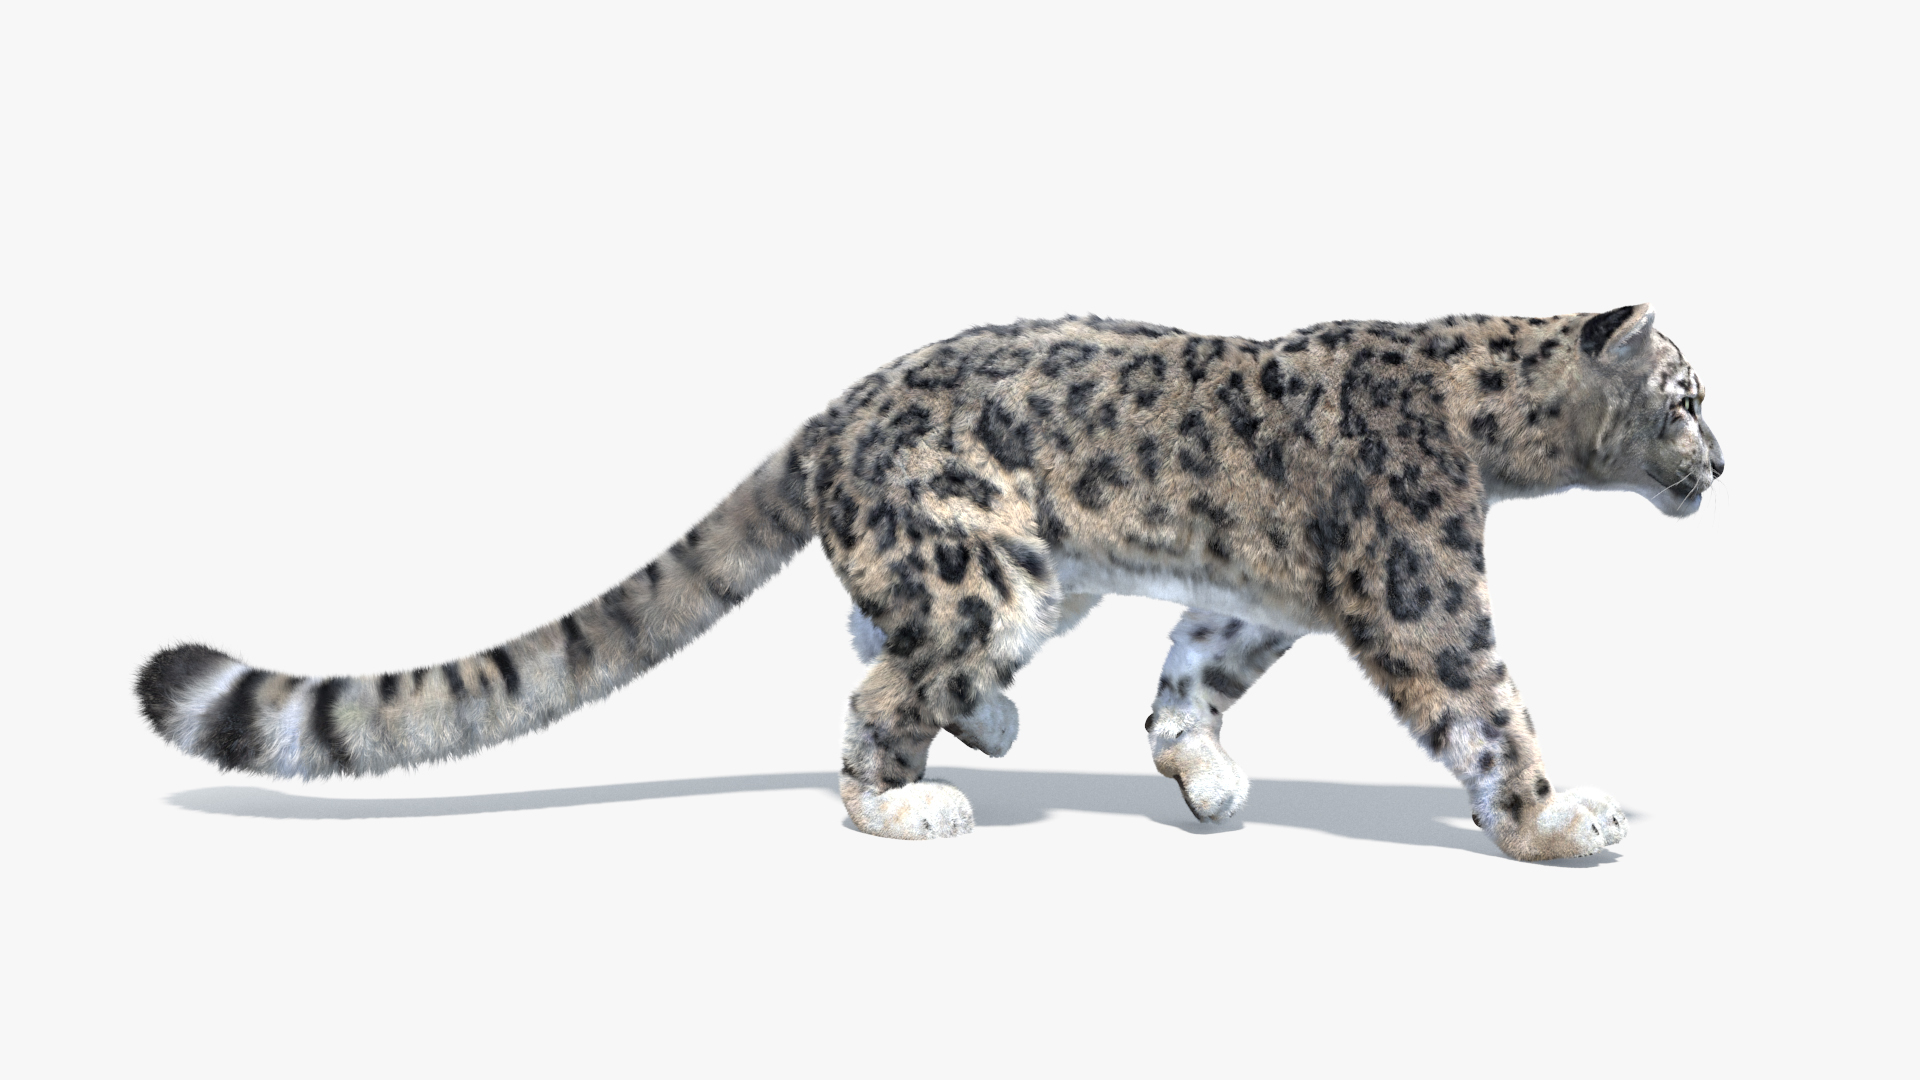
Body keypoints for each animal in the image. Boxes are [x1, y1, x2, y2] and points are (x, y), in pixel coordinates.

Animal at [136, 304, 1723, 860]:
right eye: (1688, 395)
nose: (1726, 462)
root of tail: (832, 411)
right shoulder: (1417, 588)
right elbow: (1490, 712)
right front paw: (1561, 819)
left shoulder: (1249, 598)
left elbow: (1190, 676)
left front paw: (1200, 775)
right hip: (991, 571)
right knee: (877, 688)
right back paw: (905, 801)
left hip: (1026, 578)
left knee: (883, 641)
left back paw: (993, 725)